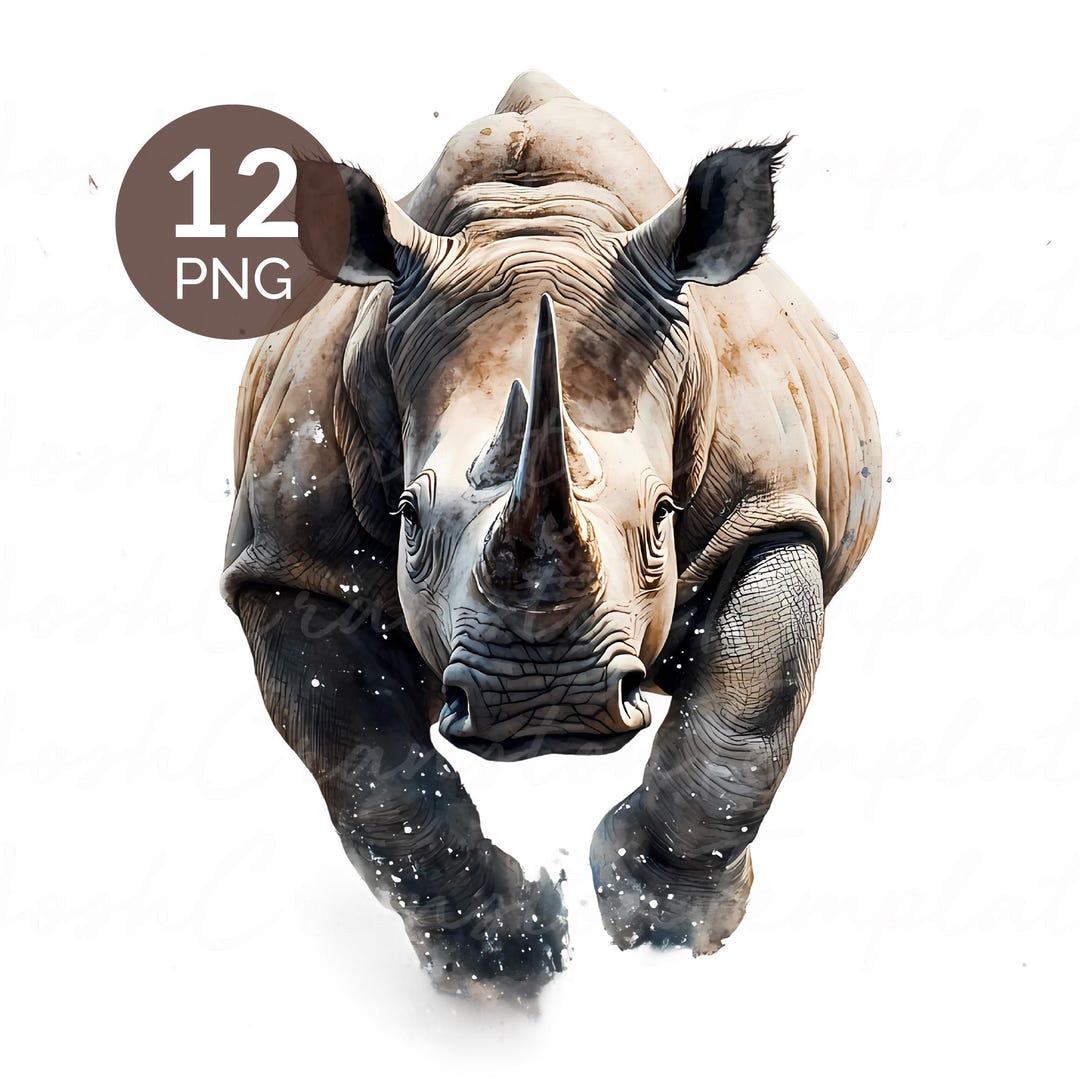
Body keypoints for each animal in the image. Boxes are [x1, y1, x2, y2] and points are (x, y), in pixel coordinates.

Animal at [222, 71, 880, 995]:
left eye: (663, 518)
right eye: (409, 519)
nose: (544, 705)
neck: (533, 218)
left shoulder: (771, 509)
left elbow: (742, 720)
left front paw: (668, 931)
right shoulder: (289, 558)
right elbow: (371, 773)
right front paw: (500, 967)